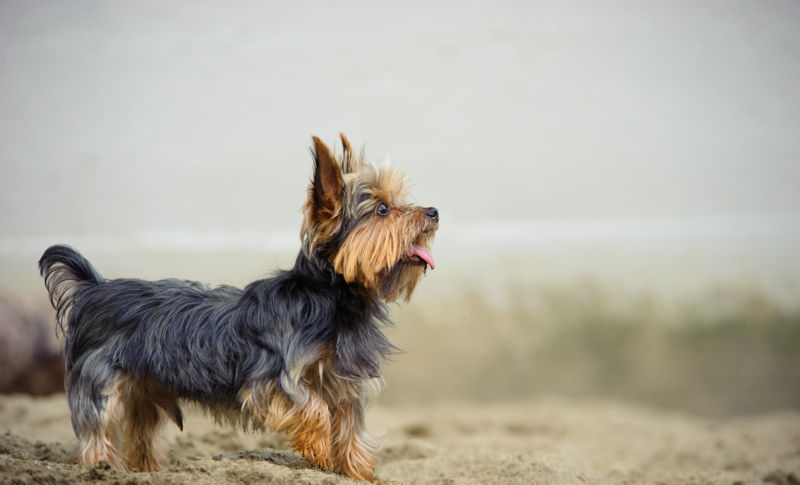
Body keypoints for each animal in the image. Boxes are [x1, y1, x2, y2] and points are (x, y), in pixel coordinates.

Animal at [37, 133, 438, 480]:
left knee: (141, 434)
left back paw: (143, 471)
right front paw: (319, 451)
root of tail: (94, 288)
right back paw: (100, 468)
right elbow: (314, 407)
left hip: (142, 390)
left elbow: (351, 431)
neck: (331, 296)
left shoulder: (345, 383)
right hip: (100, 382)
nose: (433, 211)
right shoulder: (273, 378)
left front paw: (360, 474)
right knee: (97, 430)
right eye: (383, 209)